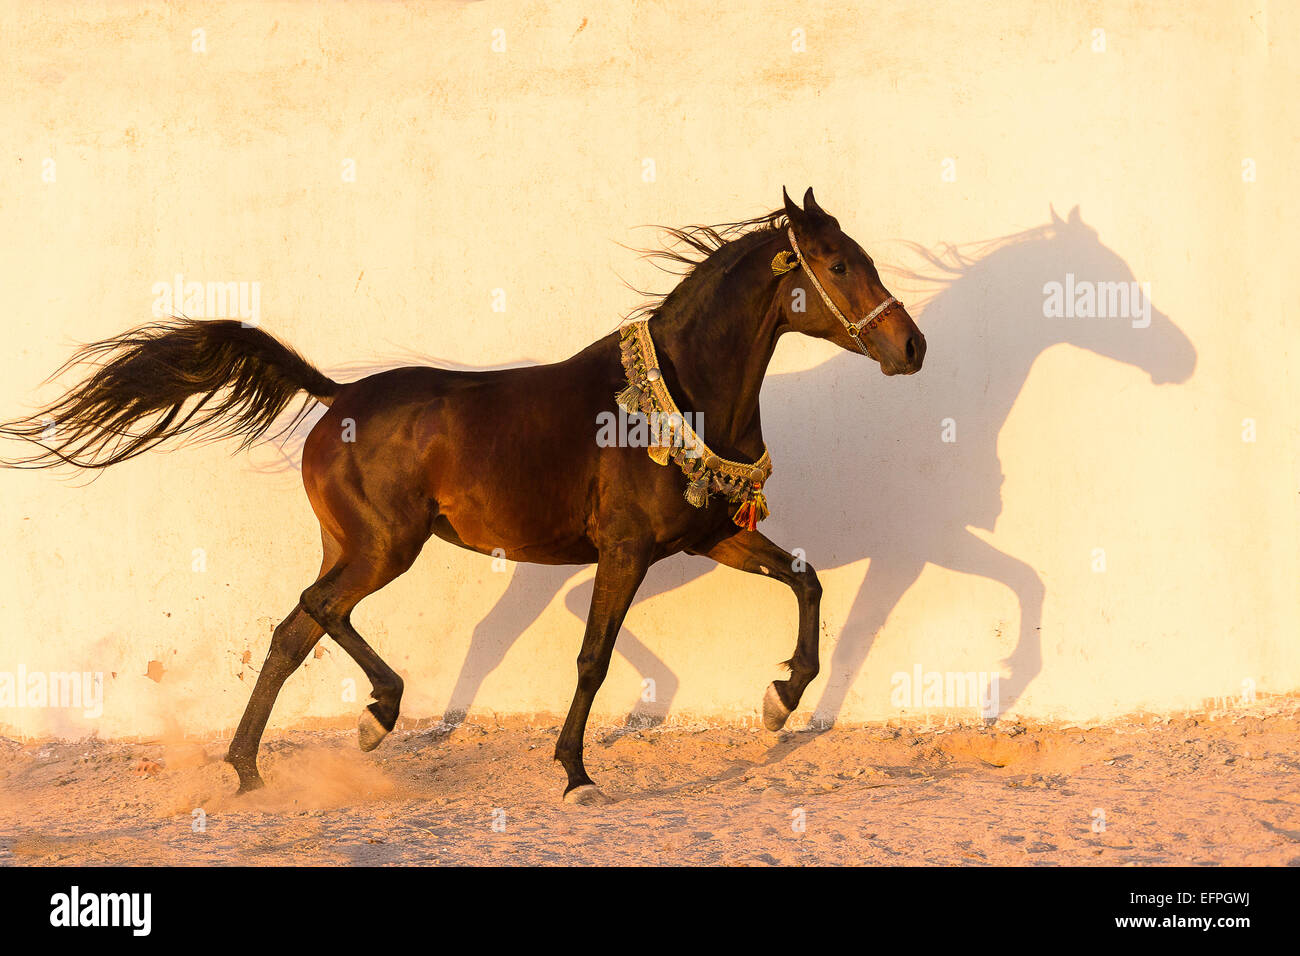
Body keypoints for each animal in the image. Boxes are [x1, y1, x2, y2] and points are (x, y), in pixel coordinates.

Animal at [0, 187, 925, 804]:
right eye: (838, 263)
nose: (911, 346)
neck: (676, 395)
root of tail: (338, 395)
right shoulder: (626, 552)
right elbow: (592, 658)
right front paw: (576, 773)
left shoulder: (711, 538)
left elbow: (807, 580)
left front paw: (779, 701)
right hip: (385, 546)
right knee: (313, 613)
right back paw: (343, 727)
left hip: (360, 546)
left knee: (297, 626)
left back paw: (277, 756)